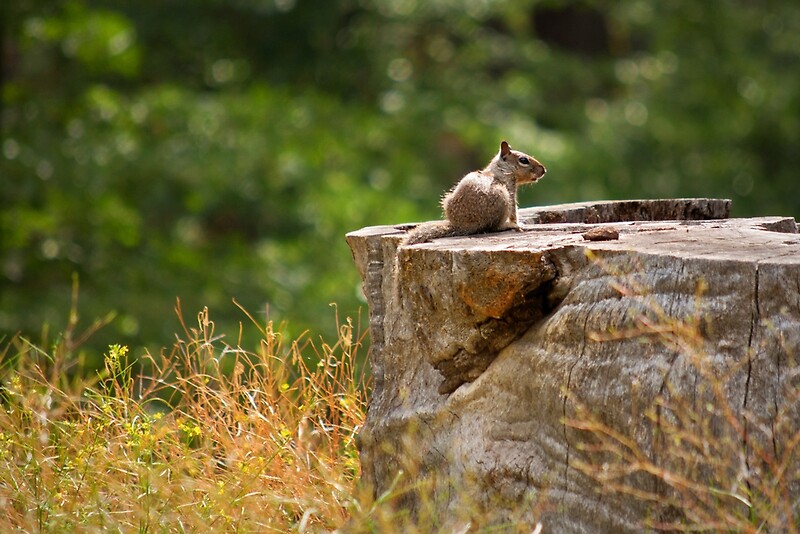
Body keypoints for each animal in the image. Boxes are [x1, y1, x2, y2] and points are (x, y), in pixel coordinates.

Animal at [403, 141, 546, 245]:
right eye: (523, 160)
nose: (543, 170)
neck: (501, 169)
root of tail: (462, 226)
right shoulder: (510, 190)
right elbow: (513, 212)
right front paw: (518, 224)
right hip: (502, 199)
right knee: (493, 227)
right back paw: (508, 225)